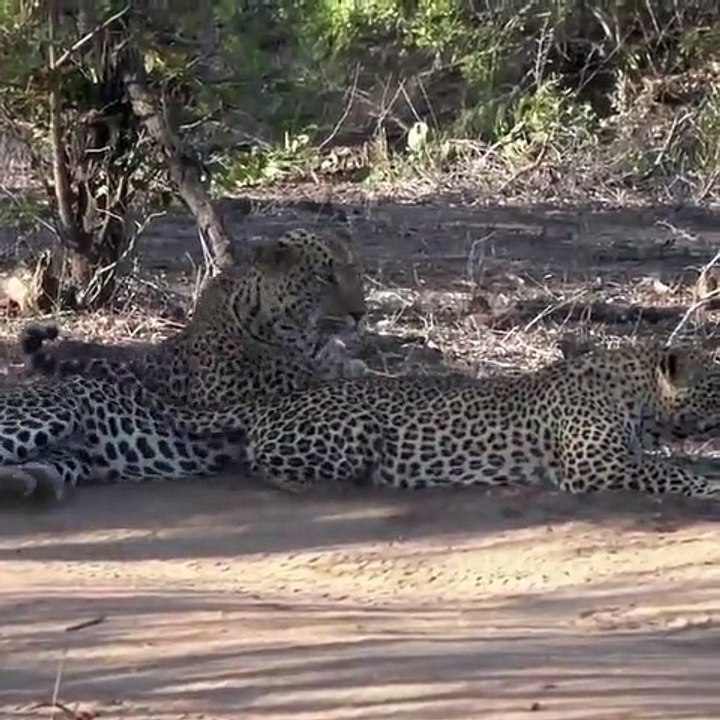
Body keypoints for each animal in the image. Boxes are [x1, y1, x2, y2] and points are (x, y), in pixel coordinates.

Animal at [0, 228, 371, 502]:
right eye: (324, 277)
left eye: (355, 274)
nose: (360, 314)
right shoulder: (218, 394)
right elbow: (290, 375)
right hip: (51, 411)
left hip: (69, 457)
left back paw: (30, 482)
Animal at [180, 342, 720, 500]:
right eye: (716, 385)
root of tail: (273, 401)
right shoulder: (598, 466)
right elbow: (672, 471)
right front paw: (710, 487)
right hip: (354, 428)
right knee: (264, 466)